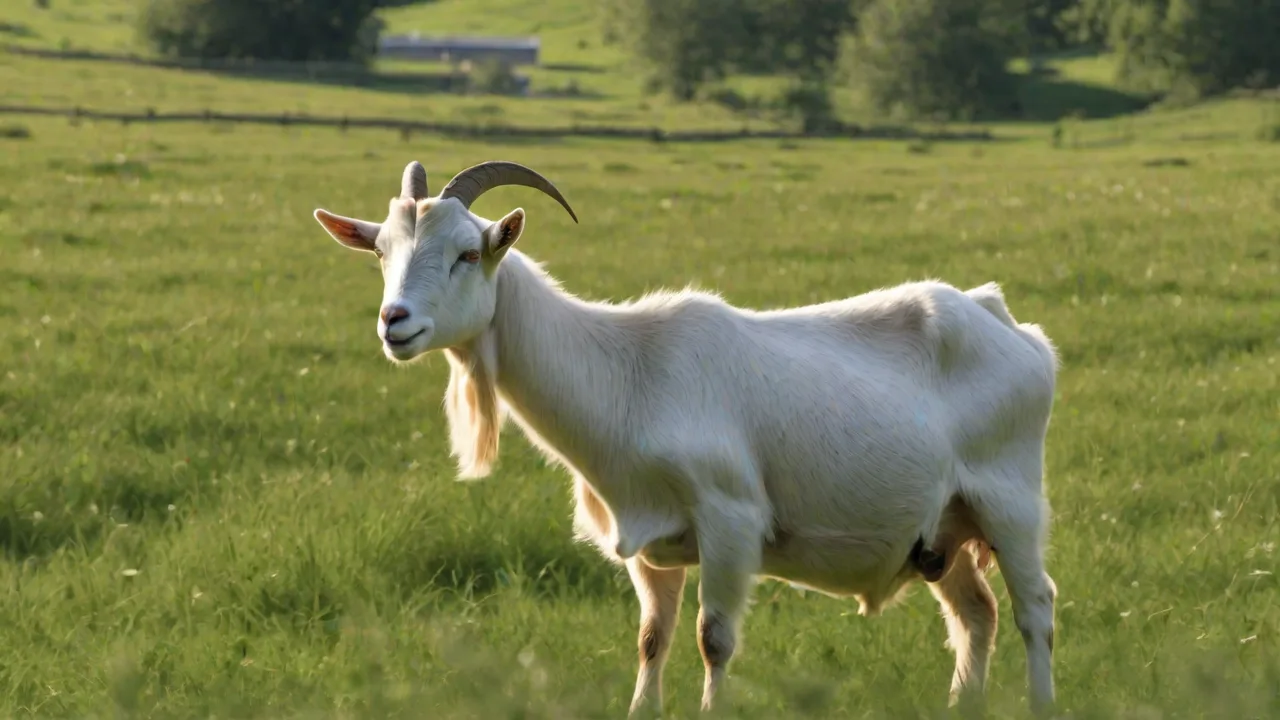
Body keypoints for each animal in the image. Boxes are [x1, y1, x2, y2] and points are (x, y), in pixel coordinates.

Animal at [313, 160, 1061, 717]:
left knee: (1035, 609)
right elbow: (652, 639)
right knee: (976, 615)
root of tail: (1007, 323)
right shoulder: (649, 542)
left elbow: (714, 639)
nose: (394, 322)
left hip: (1009, 500)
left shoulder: (729, 519)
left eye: (467, 253)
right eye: (381, 251)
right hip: (942, 529)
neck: (626, 372)